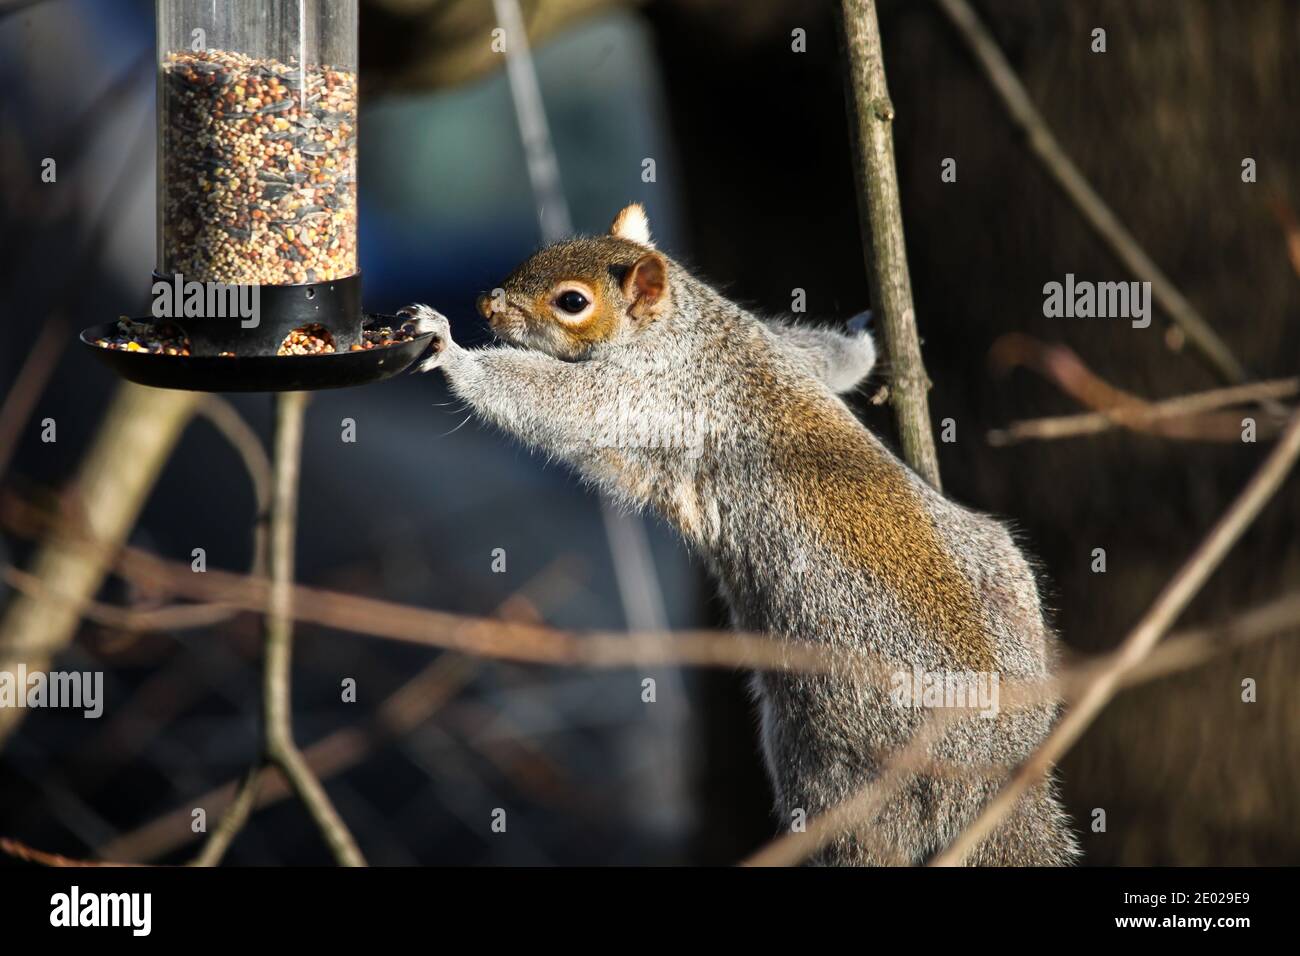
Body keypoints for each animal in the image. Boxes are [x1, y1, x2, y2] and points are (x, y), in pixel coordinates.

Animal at [402, 204, 1079, 866]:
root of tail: (996, 758)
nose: (486, 304)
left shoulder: (638, 395)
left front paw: (453, 350)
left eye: (573, 301)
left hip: (837, 762)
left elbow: (544, 397)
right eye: (544, 251)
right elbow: (828, 359)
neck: (688, 331)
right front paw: (866, 333)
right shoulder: (776, 345)